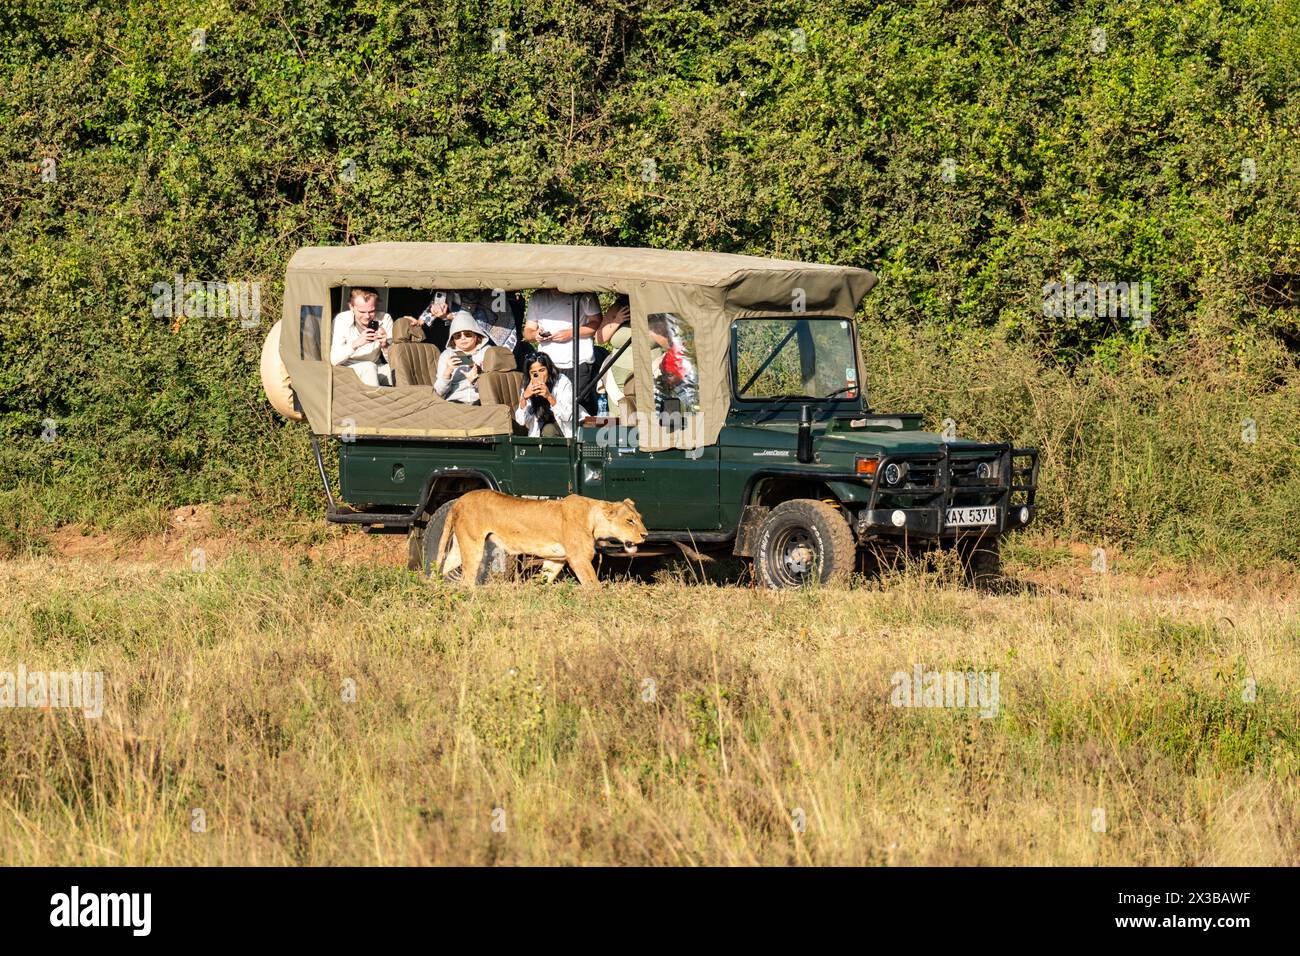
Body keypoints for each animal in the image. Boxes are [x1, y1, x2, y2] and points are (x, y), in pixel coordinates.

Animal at [435, 490, 648, 585]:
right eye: (629, 520)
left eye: (639, 518)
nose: (645, 535)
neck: (594, 520)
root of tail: (459, 500)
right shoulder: (579, 559)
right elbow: (593, 586)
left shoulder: (556, 559)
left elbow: (544, 580)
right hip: (474, 546)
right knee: (467, 579)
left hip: (459, 546)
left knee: (446, 567)